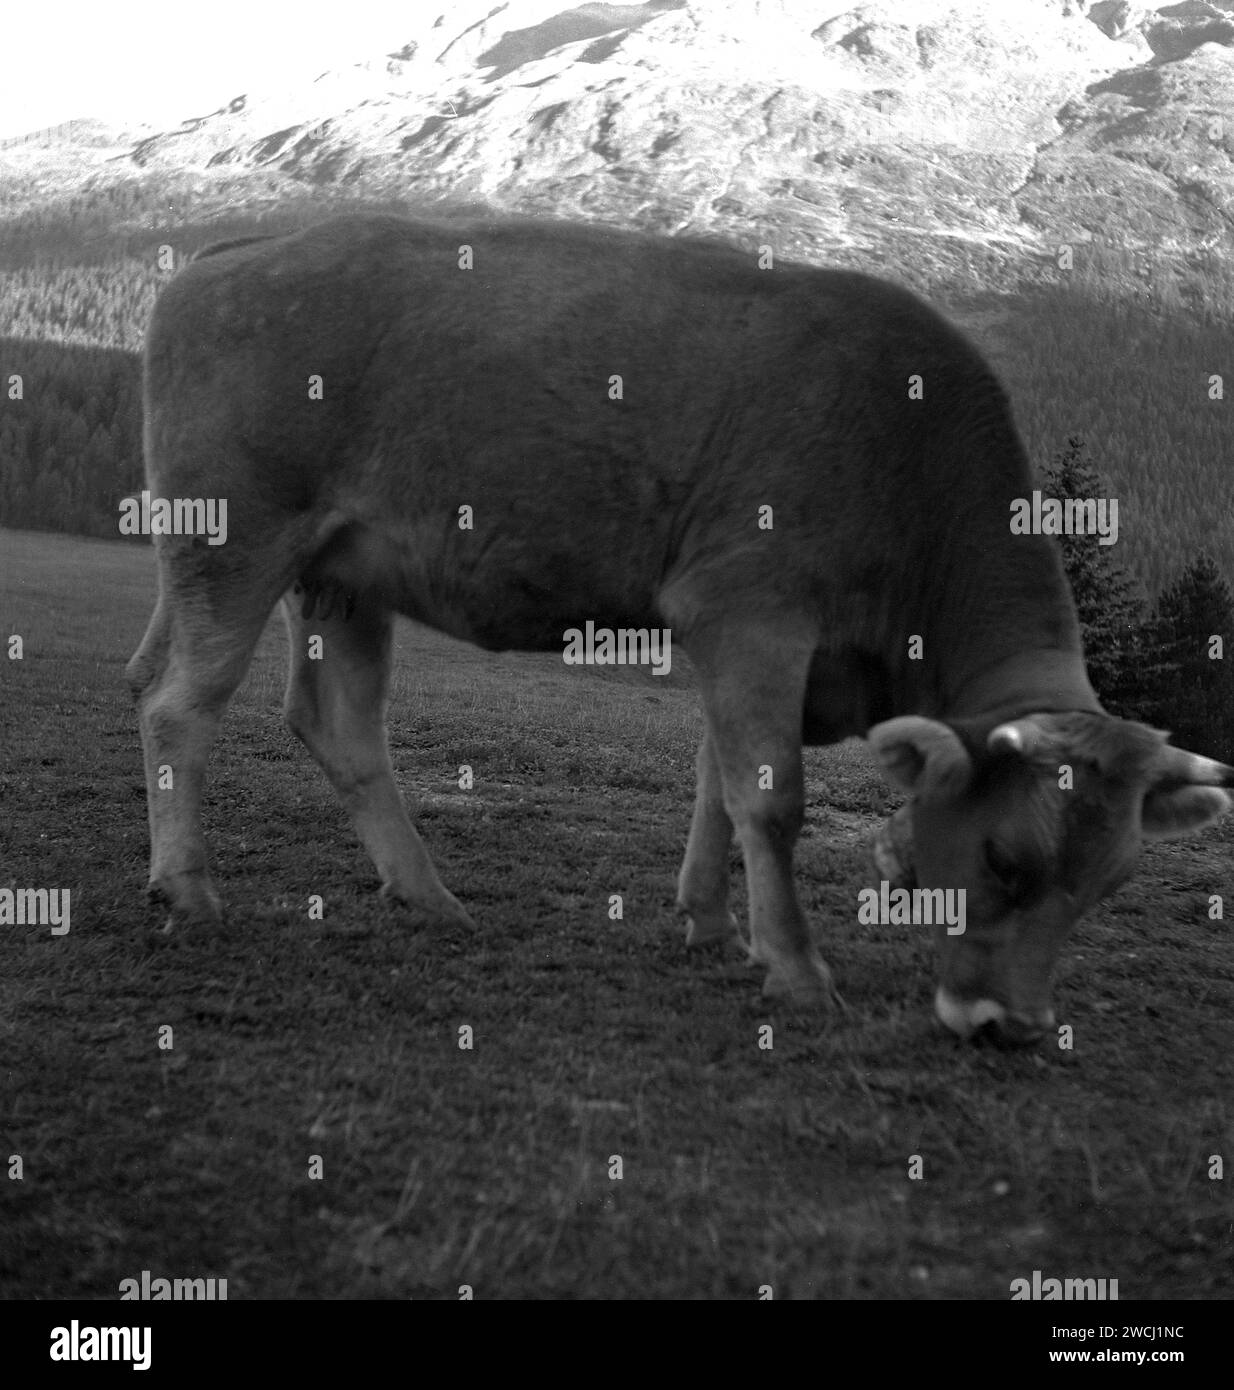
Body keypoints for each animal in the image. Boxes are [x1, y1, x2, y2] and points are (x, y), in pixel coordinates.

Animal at [126, 212, 1233, 1047]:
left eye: (1109, 883)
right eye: (1005, 860)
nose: (1011, 1028)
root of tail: (242, 246)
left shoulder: (748, 639)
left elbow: (717, 782)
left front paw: (708, 920)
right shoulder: (749, 606)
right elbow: (772, 800)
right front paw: (796, 970)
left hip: (346, 572)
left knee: (337, 723)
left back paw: (426, 894)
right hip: (235, 534)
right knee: (180, 705)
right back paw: (189, 891)